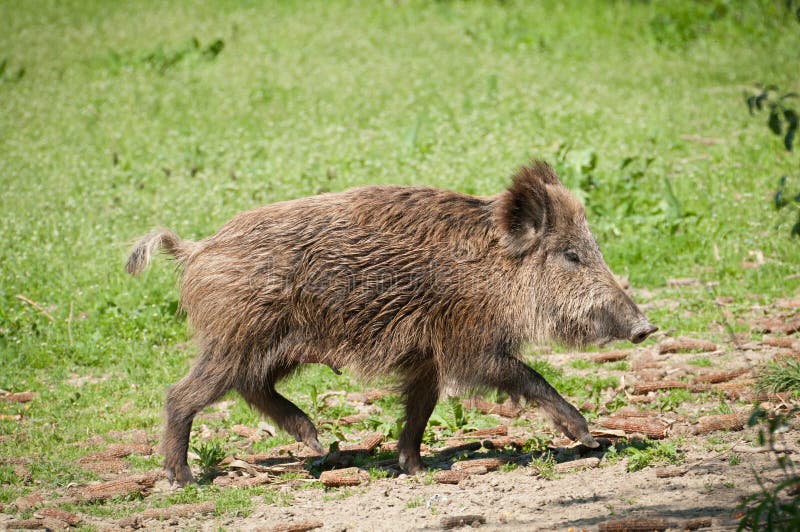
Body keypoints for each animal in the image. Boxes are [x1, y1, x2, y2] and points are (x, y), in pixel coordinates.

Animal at [125, 160, 657, 485]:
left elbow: (420, 408)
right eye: (570, 255)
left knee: (250, 387)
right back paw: (183, 479)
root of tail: (196, 249)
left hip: (270, 347)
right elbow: (526, 376)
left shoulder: (427, 358)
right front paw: (588, 438)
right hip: (239, 336)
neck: (492, 270)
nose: (646, 328)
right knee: (183, 394)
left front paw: (414, 468)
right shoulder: (468, 344)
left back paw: (317, 443)